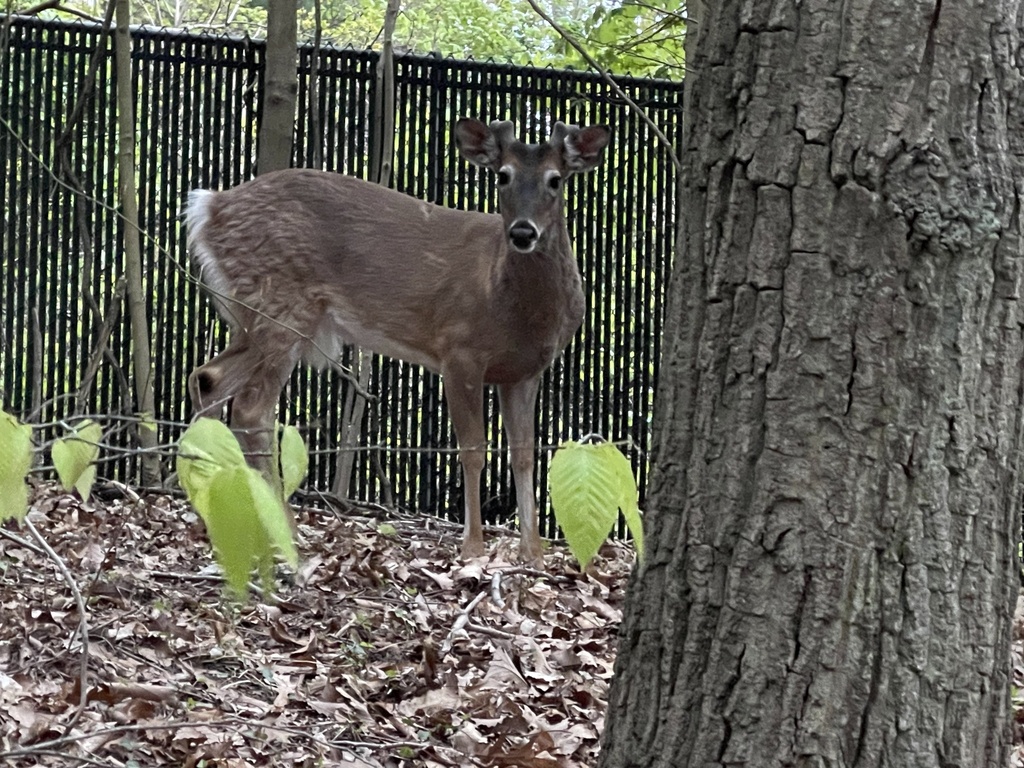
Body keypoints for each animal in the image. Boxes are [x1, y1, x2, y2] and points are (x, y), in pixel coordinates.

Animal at [184, 118, 611, 564]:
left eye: (555, 179)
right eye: (503, 175)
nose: (523, 232)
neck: (509, 302)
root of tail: (208, 208)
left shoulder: (525, 371)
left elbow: (525, 454)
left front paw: (533, 554)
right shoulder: (458, 350)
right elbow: (473, 449)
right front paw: (473, 546)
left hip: (261, 316)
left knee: (208, 377)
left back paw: (210, 509)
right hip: (281, 302)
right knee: (251, 408)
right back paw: (284, 527)